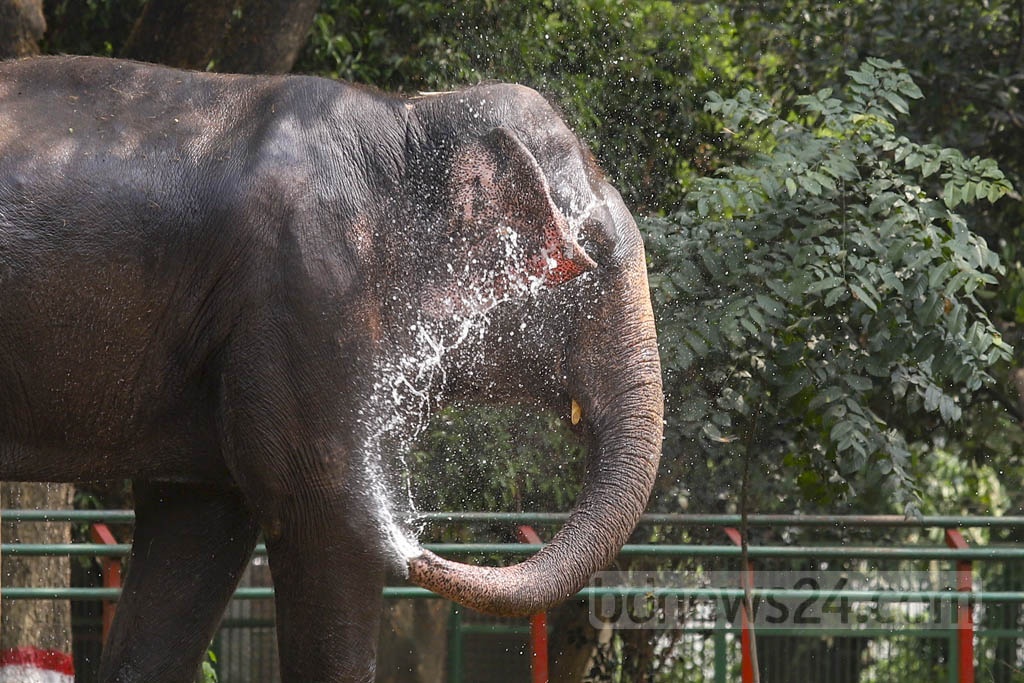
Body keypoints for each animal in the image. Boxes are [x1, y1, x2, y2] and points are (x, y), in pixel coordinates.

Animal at [0, 55, 663, 682]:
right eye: (591, 256)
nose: (418, 547)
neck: (407, 116)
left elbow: (196, 525)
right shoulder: (311, 288)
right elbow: (332, 508)